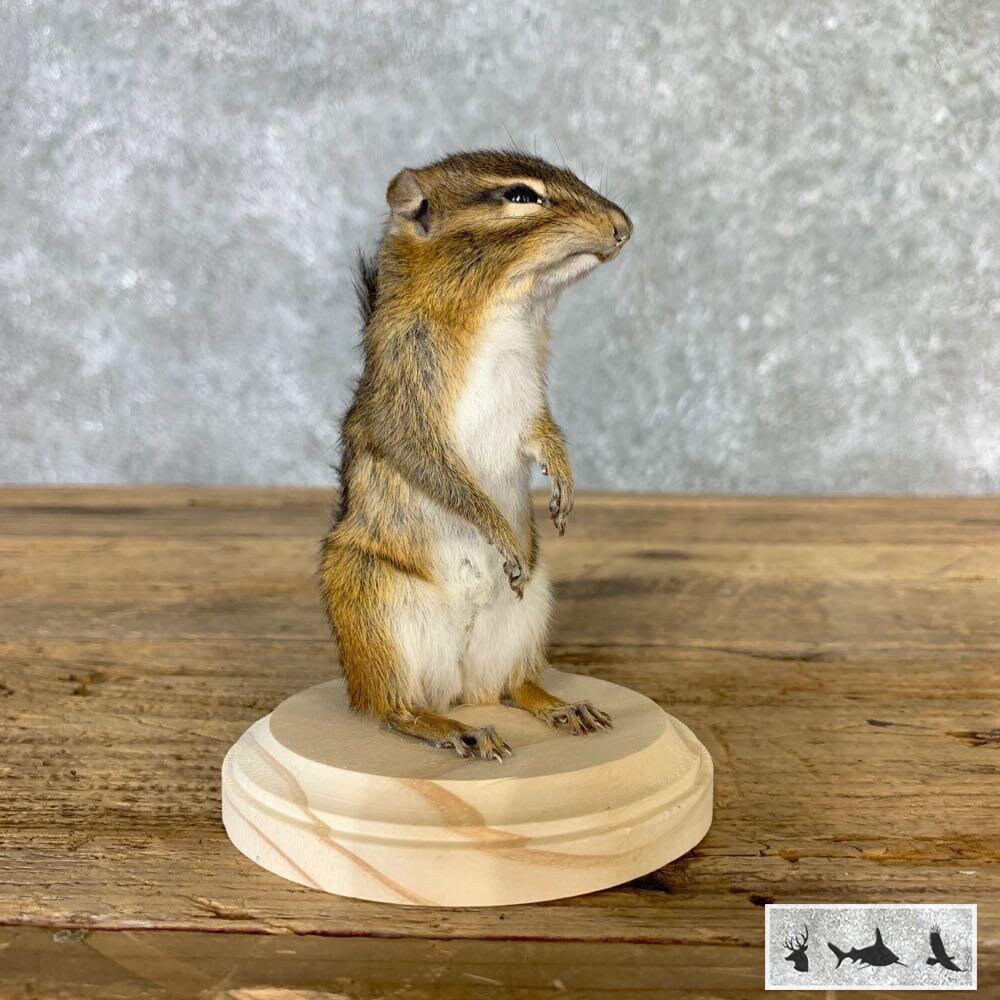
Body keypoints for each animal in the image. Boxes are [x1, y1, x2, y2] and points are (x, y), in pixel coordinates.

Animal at [320, 149, 632, 761]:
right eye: (519, 196)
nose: (622, 227)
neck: (507, 312)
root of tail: (458, 687)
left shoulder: (529, 402)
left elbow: (544, 434)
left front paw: (563, 486)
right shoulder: (406, 408)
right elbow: (441, 475)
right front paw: (498, 532)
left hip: (529, 611)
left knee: (513, 686)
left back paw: (562, 706)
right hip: (375, 613)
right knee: (391, 710)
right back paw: (451, 728)